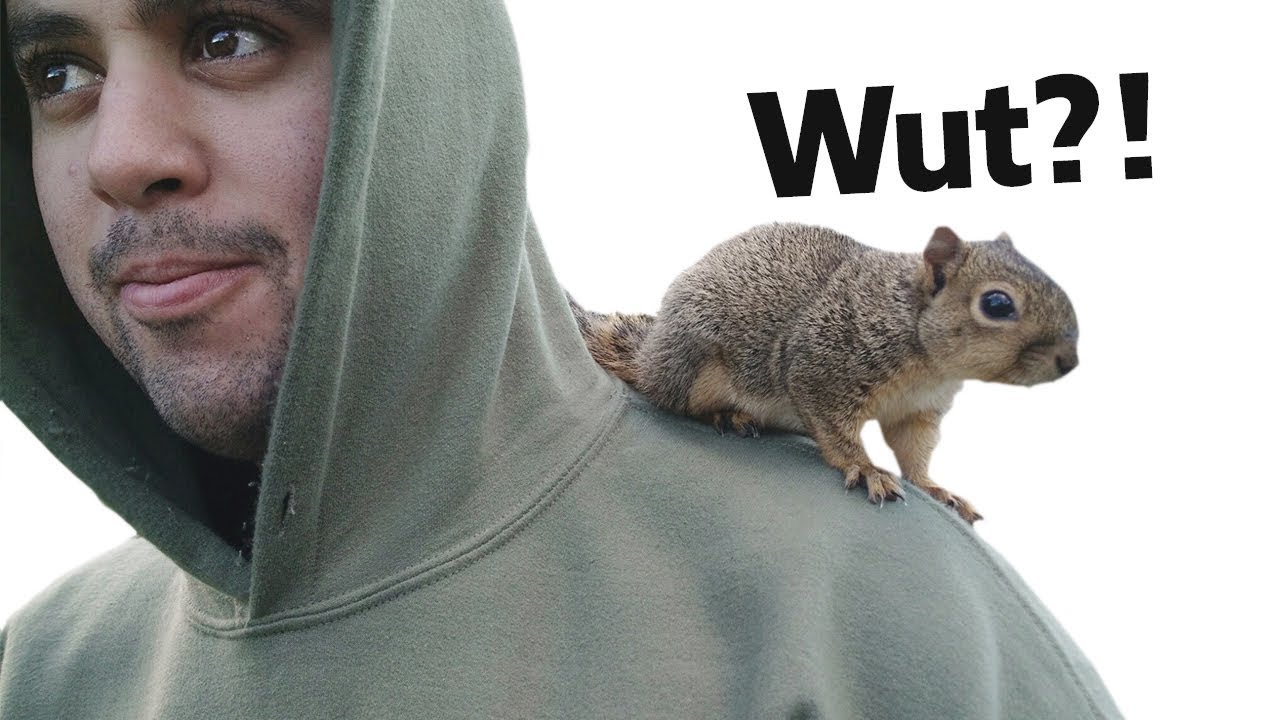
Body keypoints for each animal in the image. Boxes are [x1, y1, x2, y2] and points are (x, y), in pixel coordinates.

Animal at [571, 223, 1079, 523]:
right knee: (675, 401)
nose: (1070, 361)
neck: (929, 364)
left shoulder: (917, 410)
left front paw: (935, 487)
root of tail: (650, 355)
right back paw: (726, 415)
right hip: (693, 365)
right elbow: (835, 431)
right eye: (997, 303)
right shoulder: (822, 364)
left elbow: (913, 452)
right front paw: (867, 468)